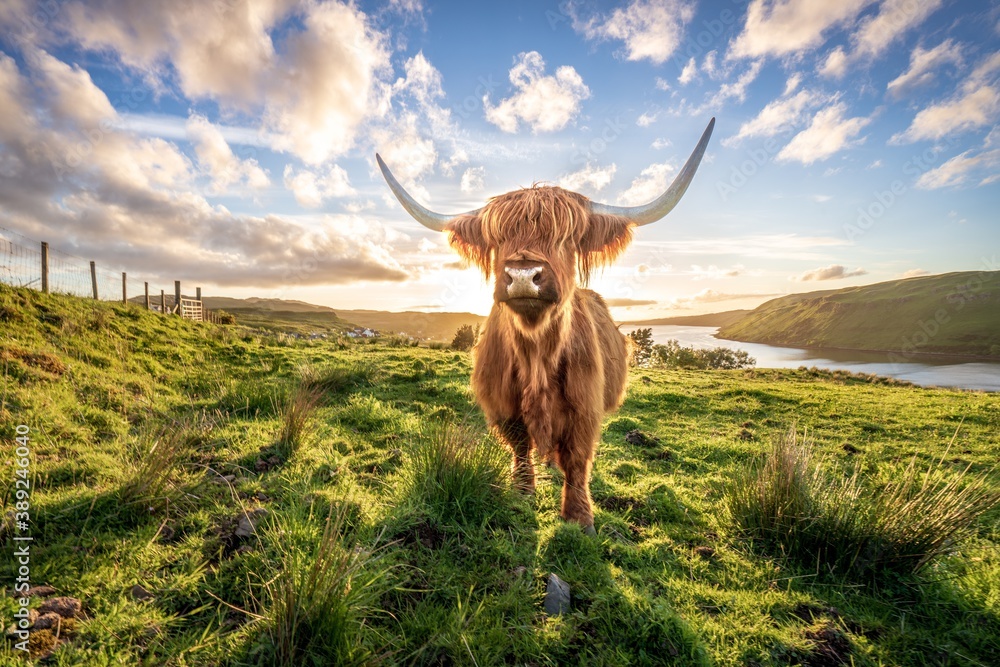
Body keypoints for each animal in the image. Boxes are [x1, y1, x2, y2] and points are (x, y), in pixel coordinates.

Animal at [377, 119, 714, 535]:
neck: (536, 354)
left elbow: (576, 459)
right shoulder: (503, 404)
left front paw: (579, 518)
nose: (523, 275)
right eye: (497, 238)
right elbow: (521, 446)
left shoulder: (585, 409)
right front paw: (522, 493)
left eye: (566, 238)